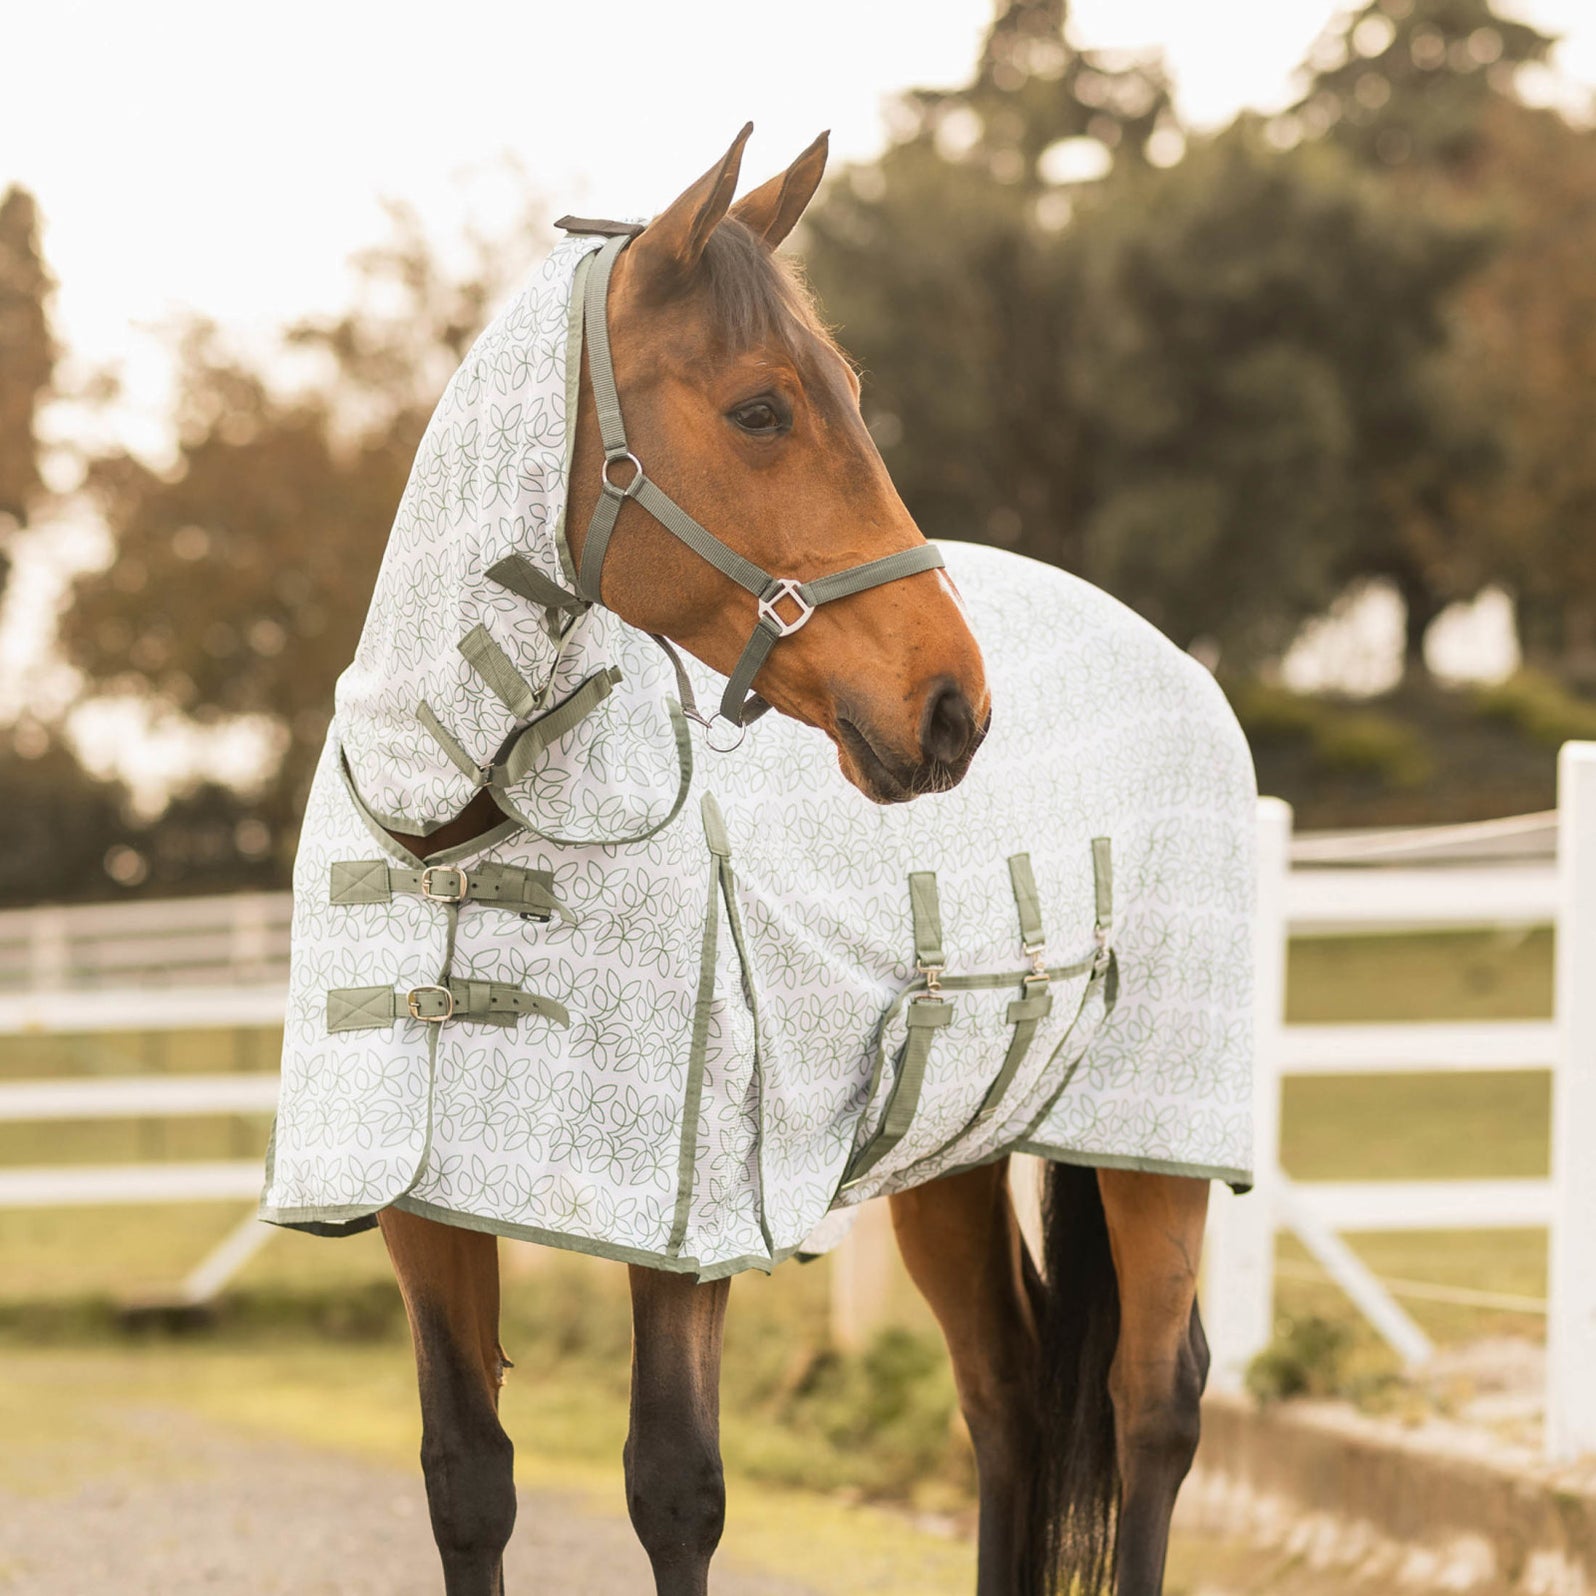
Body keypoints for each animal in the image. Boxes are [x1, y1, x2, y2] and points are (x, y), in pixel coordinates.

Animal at [273, 126, 1244, 1596]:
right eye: (762, 410)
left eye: (846, 393)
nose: (952, 705)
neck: (457, 823)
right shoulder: (419, 1212)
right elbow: (467, 1483)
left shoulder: (686, 1224)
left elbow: (675, 1488)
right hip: (951, 1166)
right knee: (1009, 1398)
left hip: (1158, 1146)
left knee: (1152, 1407)